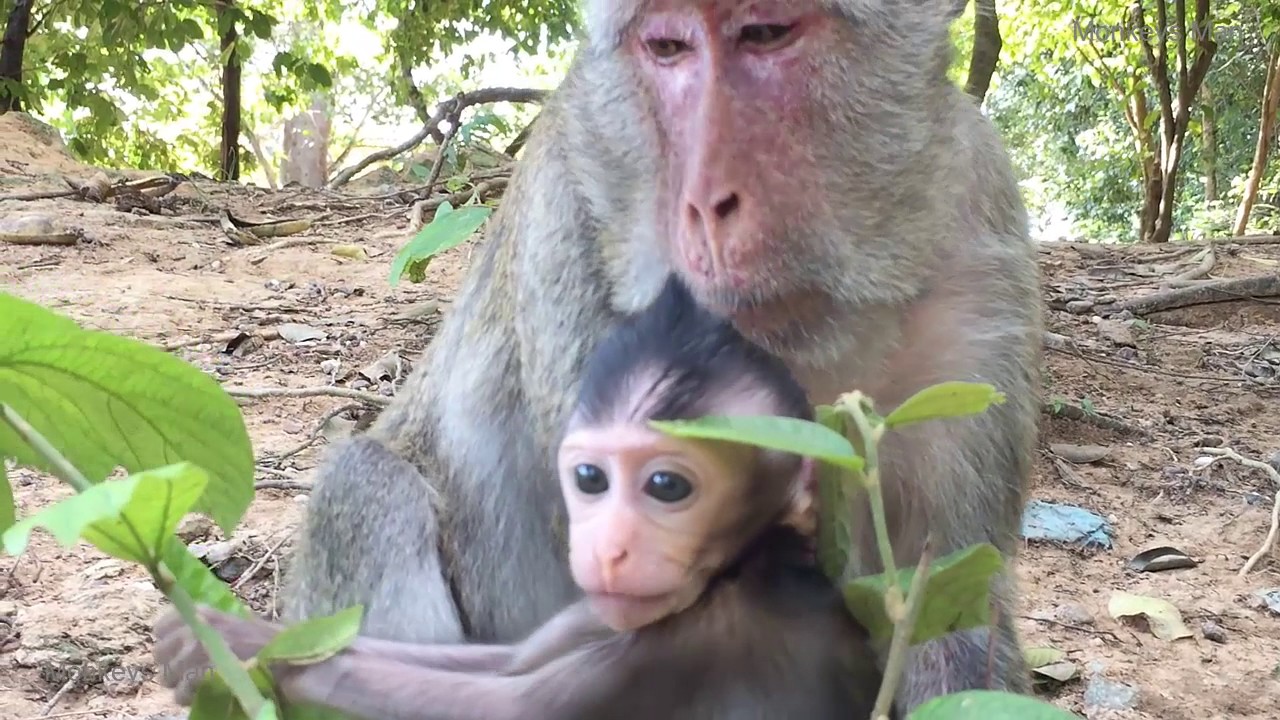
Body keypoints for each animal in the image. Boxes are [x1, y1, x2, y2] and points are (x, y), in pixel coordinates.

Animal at [153, 275, 890, 720]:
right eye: (590, 480)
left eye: (667, 487)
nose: (609, 549)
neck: (740, 566)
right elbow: (509, 659)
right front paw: (231, 638)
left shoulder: (712, 634)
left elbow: (506, 708)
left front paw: (230, 649)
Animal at [281, 0, 1043, 712]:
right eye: (669, 48)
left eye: (766, 35)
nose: (705, 205)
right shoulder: (570, 215)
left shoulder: (978, 249)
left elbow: (950, 608)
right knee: (366, 483)